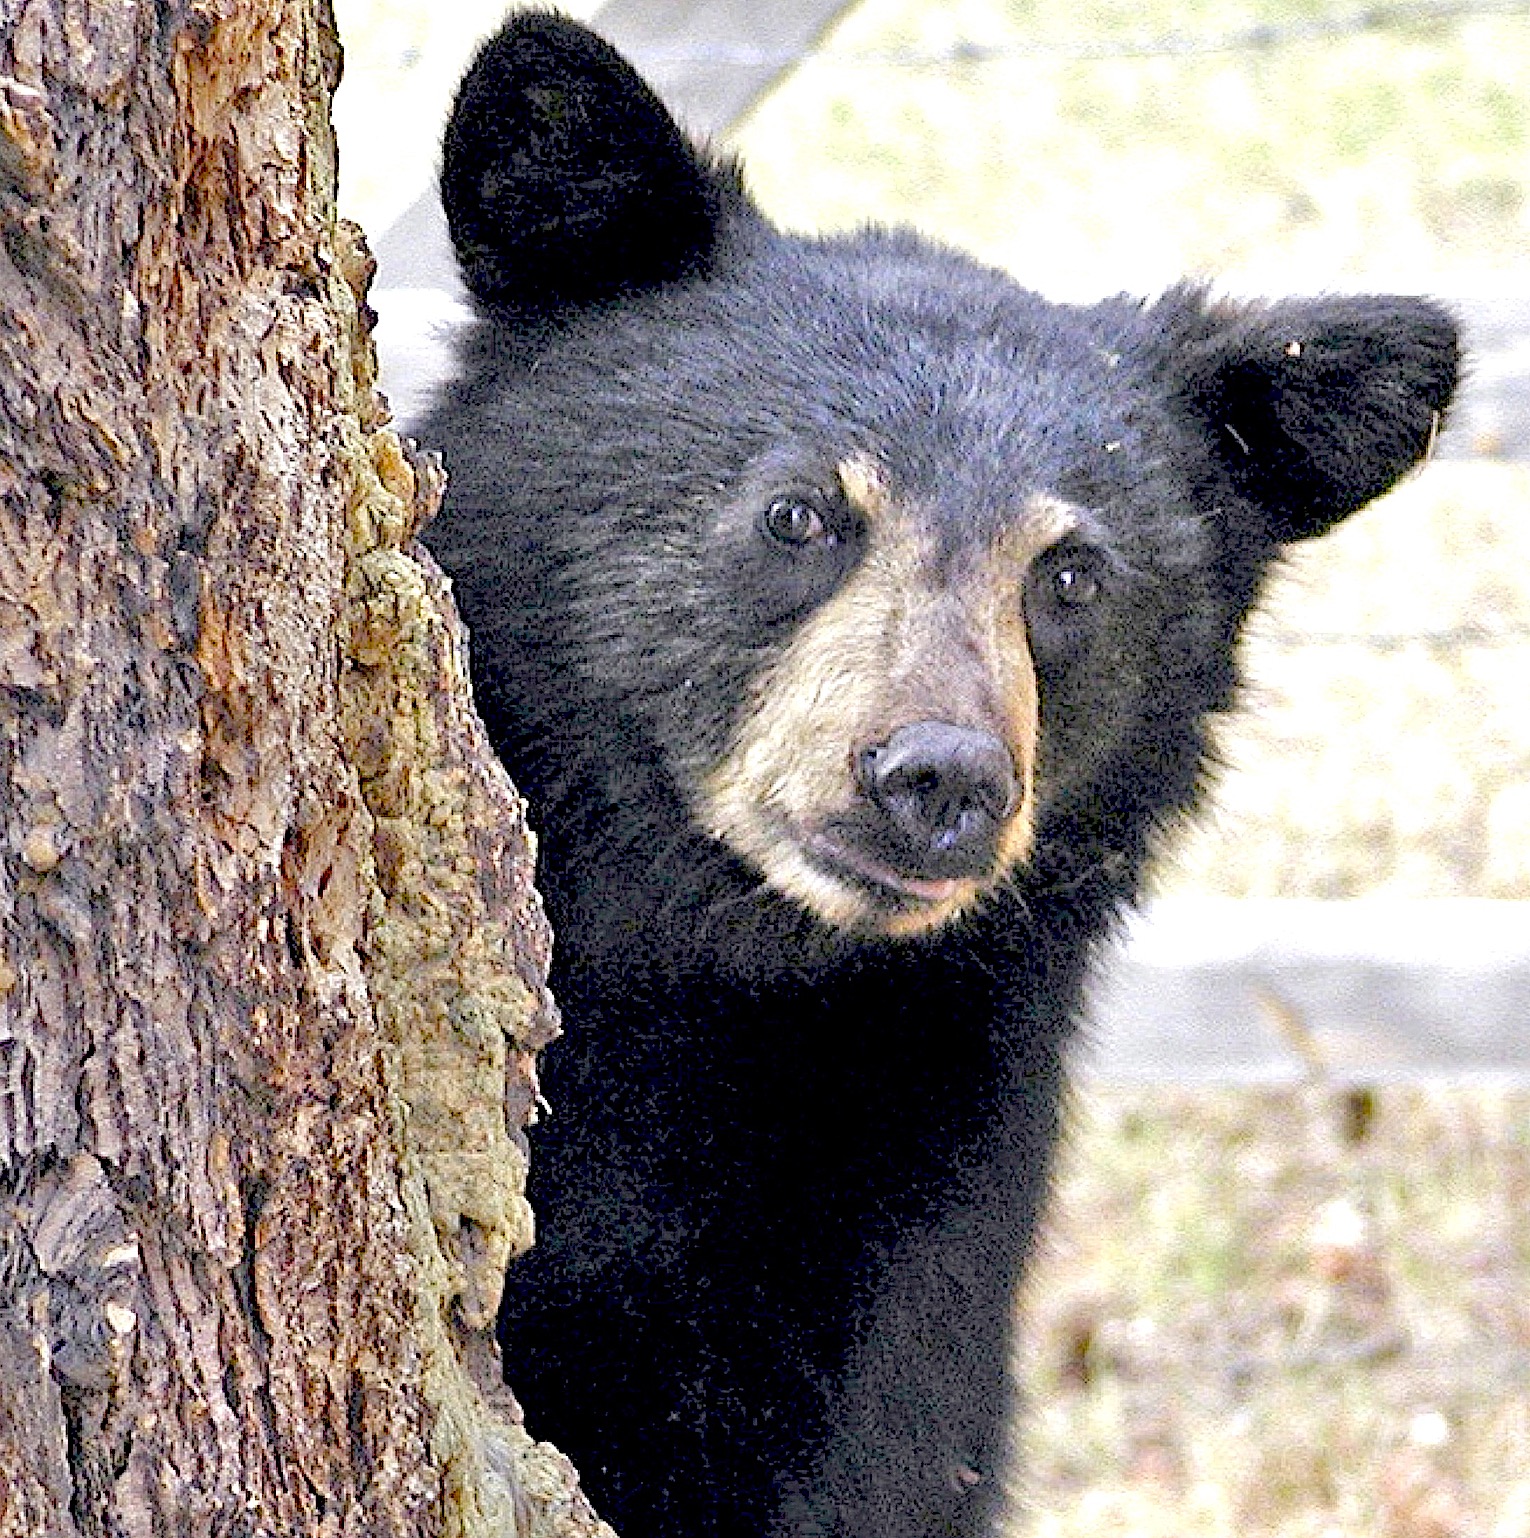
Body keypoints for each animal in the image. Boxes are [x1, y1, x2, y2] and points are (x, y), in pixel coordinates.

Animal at [416, 13, 1459, 1537]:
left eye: (1070, 576)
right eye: (800, 511)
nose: (937, 779)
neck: (710, 967)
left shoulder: (917, 1186)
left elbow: (870, 1445)